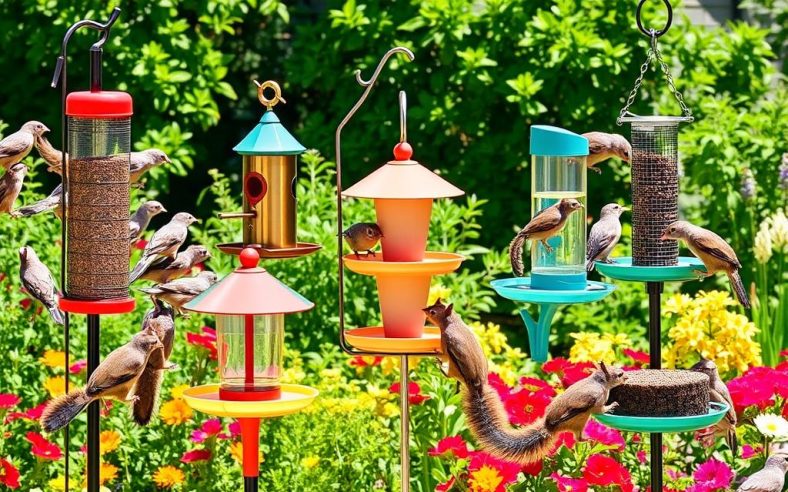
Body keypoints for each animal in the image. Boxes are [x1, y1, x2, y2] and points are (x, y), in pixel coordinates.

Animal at [423, 299, 627, 464]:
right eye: (618, 374)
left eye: (433, 312)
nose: (625, 376)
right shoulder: (595, 401)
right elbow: (600, 409)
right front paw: (612, 405)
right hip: (579, 420)